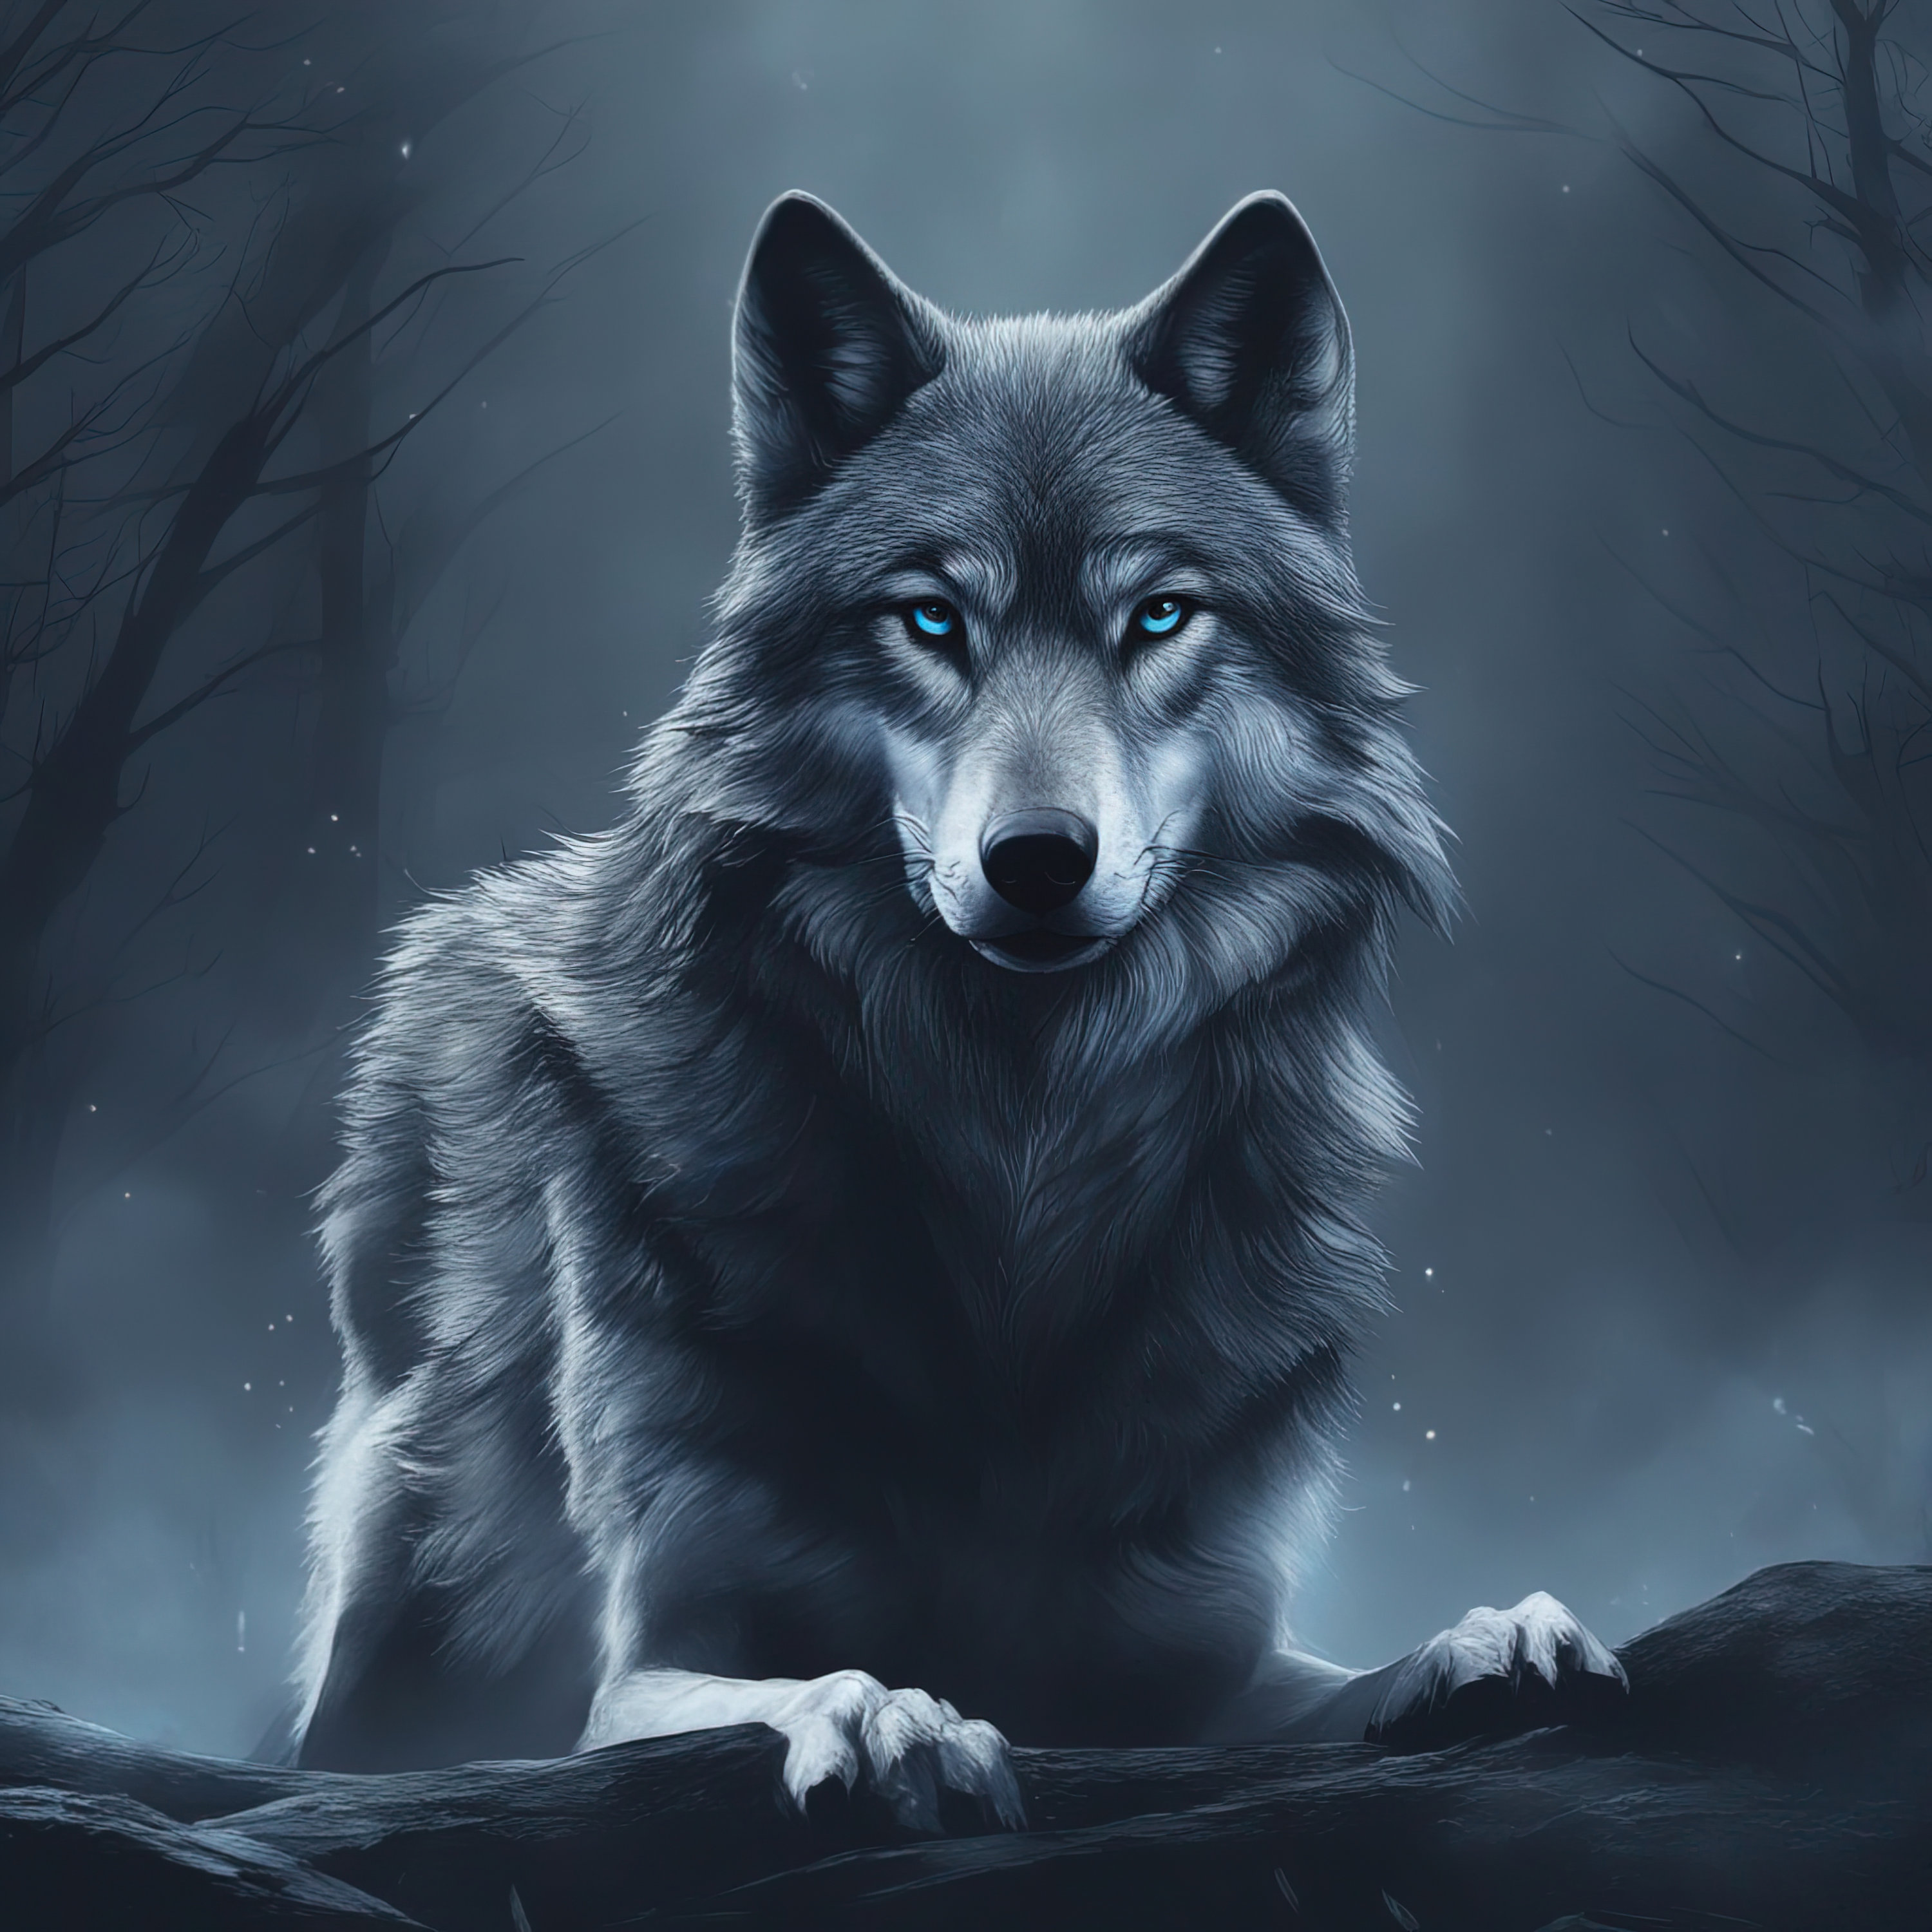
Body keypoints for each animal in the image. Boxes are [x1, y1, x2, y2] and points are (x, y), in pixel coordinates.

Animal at [289, 191, 1627, 1824]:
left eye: (1158, 615)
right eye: (930, 619)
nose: (1039, 859)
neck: (1018, 1161)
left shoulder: (1184, 1667)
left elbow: (1333, 1679)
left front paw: (1484, 1643)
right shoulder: (648, 1658)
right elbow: (783, 1680)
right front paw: (887, 1717)